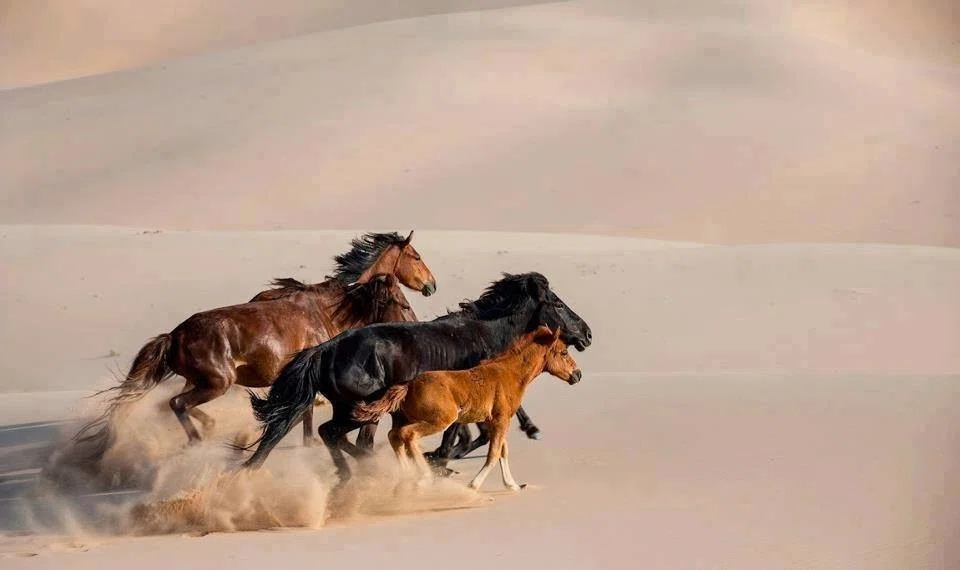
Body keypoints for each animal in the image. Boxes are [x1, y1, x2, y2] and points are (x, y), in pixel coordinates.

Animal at [70, 231, 435, 464]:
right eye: (416, 256)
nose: (431, 286)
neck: (327, 308)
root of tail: (173, 336)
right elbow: (303, 413)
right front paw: (309, 444)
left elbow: (302, 412)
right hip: (217, 383)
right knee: (176, 404)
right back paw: (200, 442)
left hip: (203, 382)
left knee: (174, 404)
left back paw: (214, 434)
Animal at [353, 325, 581, 491]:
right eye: (563, 352)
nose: (577, 374)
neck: (510, 373)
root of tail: (408, 386)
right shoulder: (501, 420)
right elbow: (494, 454)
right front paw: (474, 485)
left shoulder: (497, 421)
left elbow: (503, 452)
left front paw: (513, 485)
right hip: (441, 420)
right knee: (408, 435)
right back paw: (424, 476)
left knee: (395, 435)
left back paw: (407, 474)